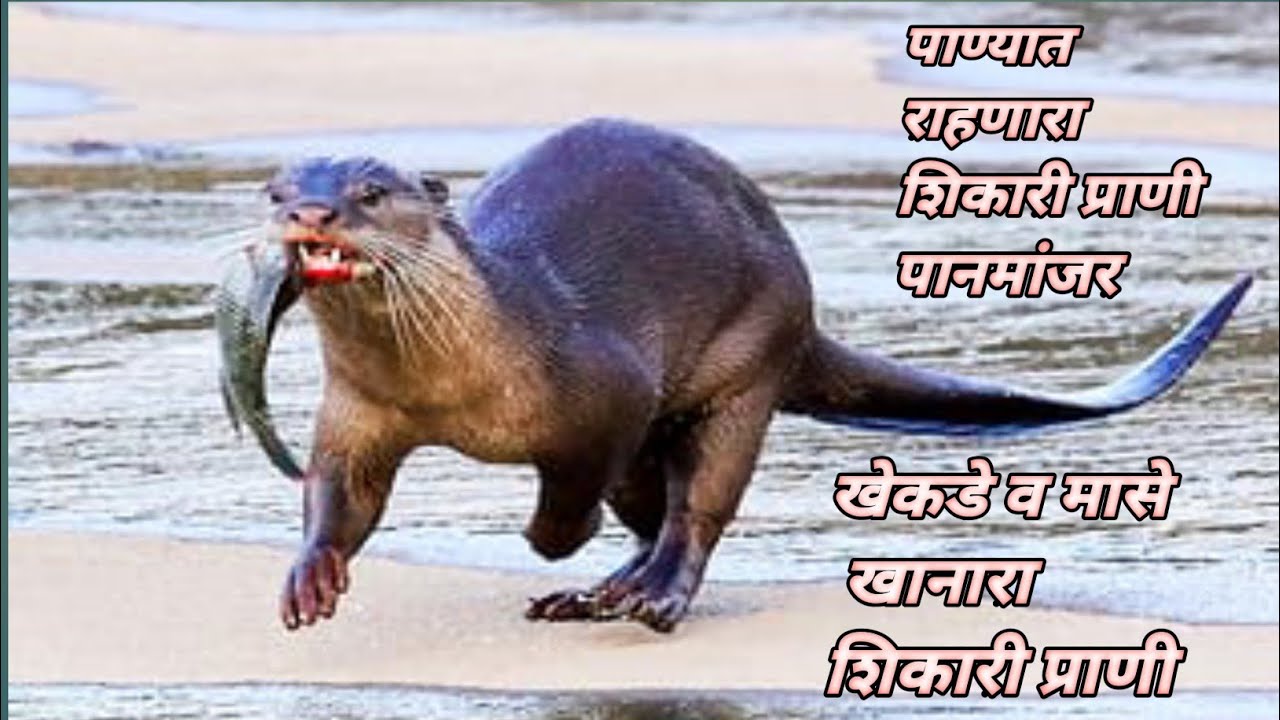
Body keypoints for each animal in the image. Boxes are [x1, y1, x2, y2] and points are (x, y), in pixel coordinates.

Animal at [257, 118, 1249, 633]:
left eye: (372, 193)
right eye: (277, 190)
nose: (312, 211)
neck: (454, 391)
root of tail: (806, 308)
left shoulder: (607, 386)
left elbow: (575, 485)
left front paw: (550, 536)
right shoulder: (360, 409)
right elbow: (338, 493)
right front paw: (312, 579)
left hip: (748, 366)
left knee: (696, 507)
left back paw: (649, 598)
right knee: (652, 509)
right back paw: (598, 595)